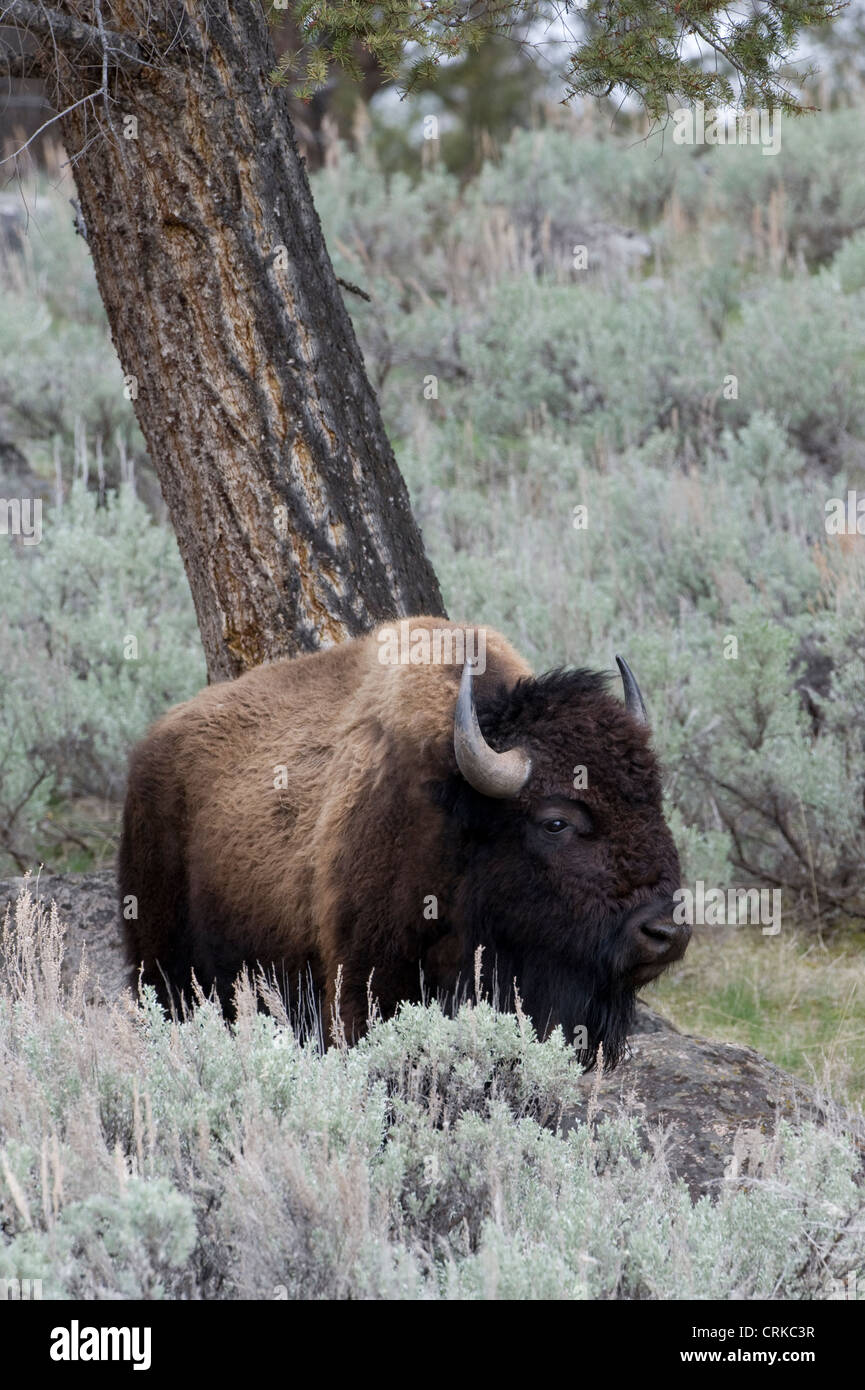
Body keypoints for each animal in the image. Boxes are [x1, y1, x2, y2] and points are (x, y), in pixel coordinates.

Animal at [119, 616, 687, 1065]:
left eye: (655, 799)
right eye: (555, 822)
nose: (665, 931)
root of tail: (151, 748)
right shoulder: (363, 988)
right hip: (165, 969)